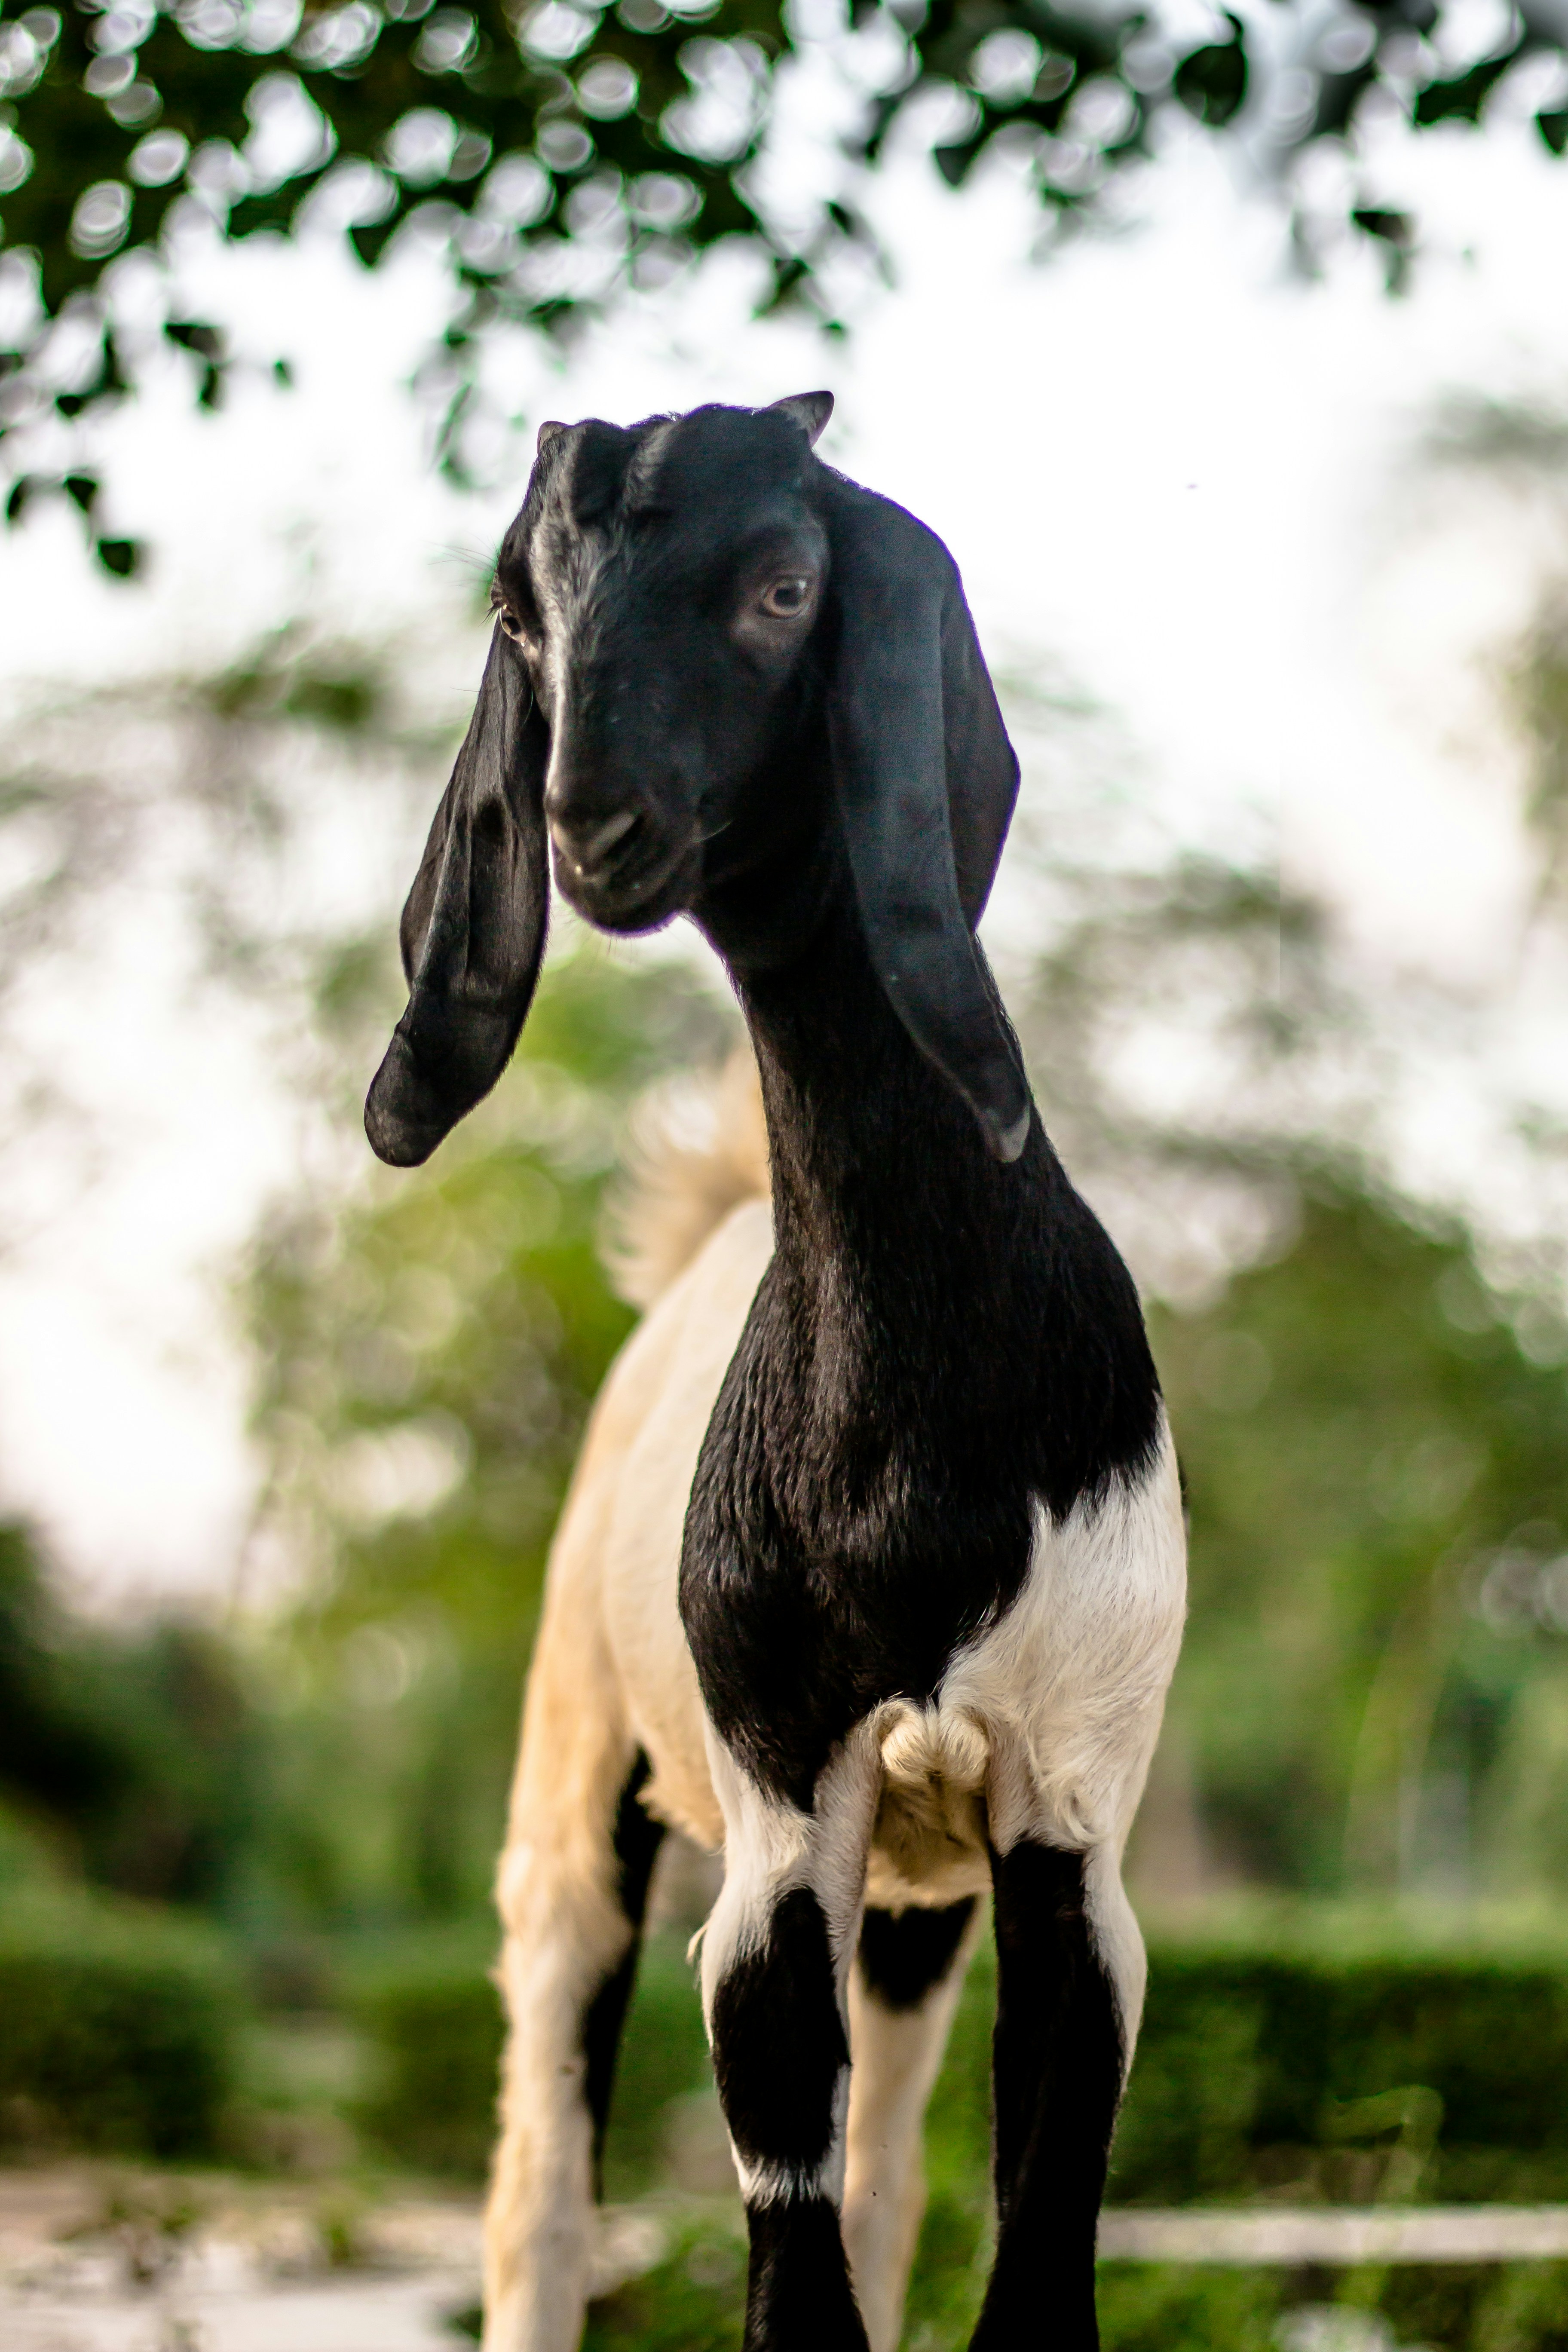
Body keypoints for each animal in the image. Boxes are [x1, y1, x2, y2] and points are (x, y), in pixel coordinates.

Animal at [365, 394, 1187, 2352]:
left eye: (784, 586)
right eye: (521, 613)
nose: (593, 824)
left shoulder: (1069, 1830)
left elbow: (1018, 2256)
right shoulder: (775, 1830)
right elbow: (787, 2273)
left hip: (914, 1908)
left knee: (887, 2187)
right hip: (575, 1792)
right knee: (541, 2191)